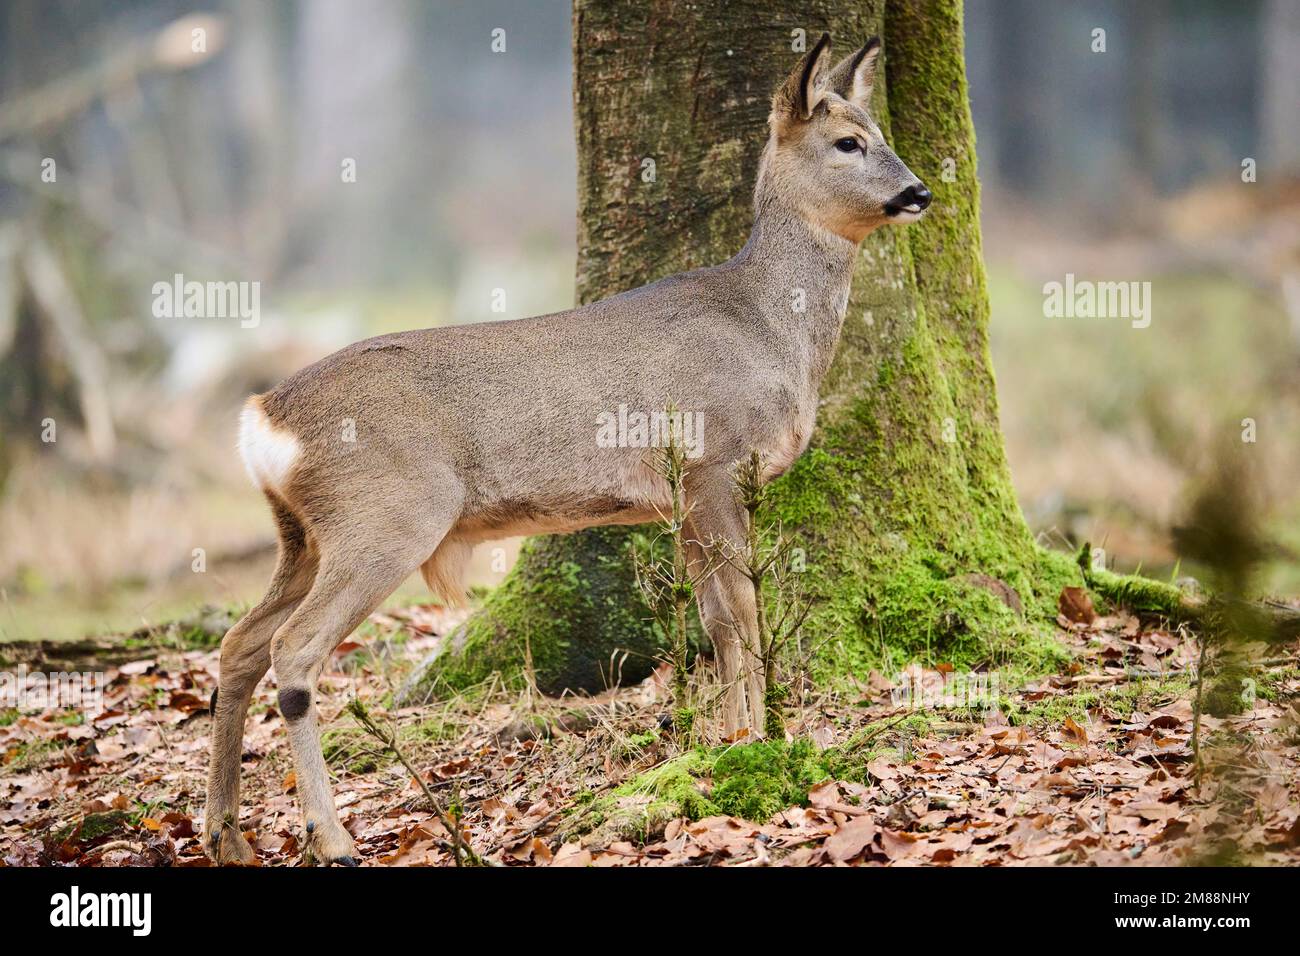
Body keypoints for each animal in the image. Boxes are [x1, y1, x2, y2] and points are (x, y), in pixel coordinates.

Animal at [204, 32, 929, 866]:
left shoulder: (683, 496)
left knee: (239, 643)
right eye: (847, 143)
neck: (768, 331)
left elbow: (716, 619)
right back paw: (332, 838)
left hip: (303, 534)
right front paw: (752, 740)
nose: (920, 191)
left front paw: (727, 738)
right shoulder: (713, 463)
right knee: (294, 649)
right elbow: (742, 613)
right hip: (385, 514)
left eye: (882, 132)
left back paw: (223, 834)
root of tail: (262, 418)